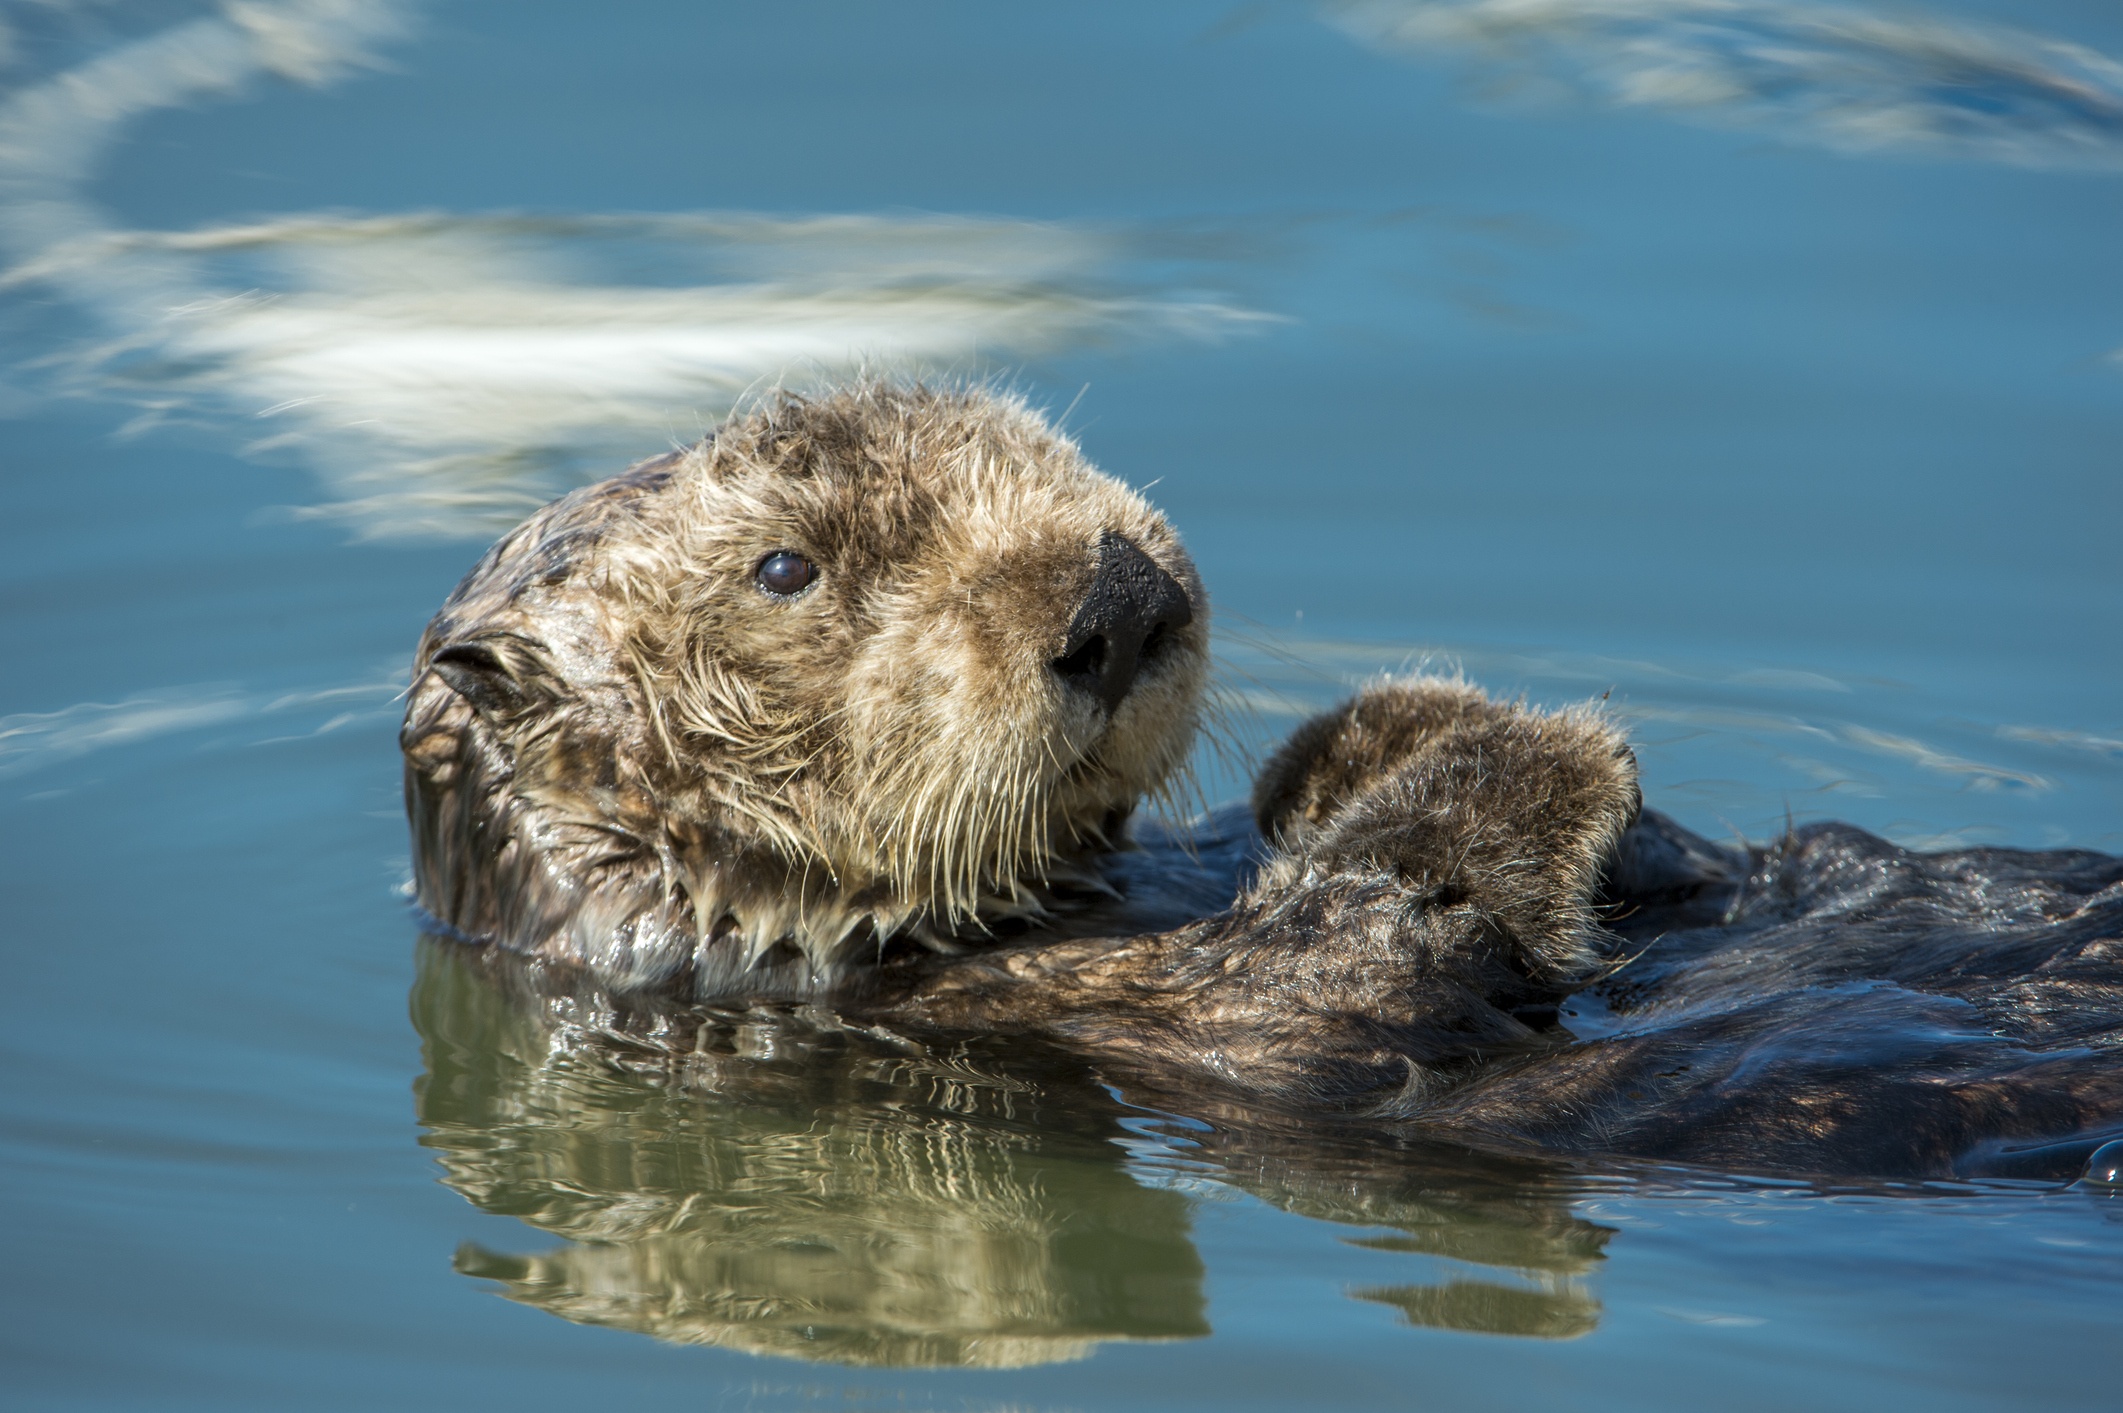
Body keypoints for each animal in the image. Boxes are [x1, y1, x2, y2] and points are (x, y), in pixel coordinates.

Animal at [402, 380, 2123, 1179]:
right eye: (784, 568)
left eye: (1033, 448)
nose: (1115, 595)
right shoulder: (1188, 1017)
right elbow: (1374, 954)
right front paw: (1540, 750)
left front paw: (1384, 725)